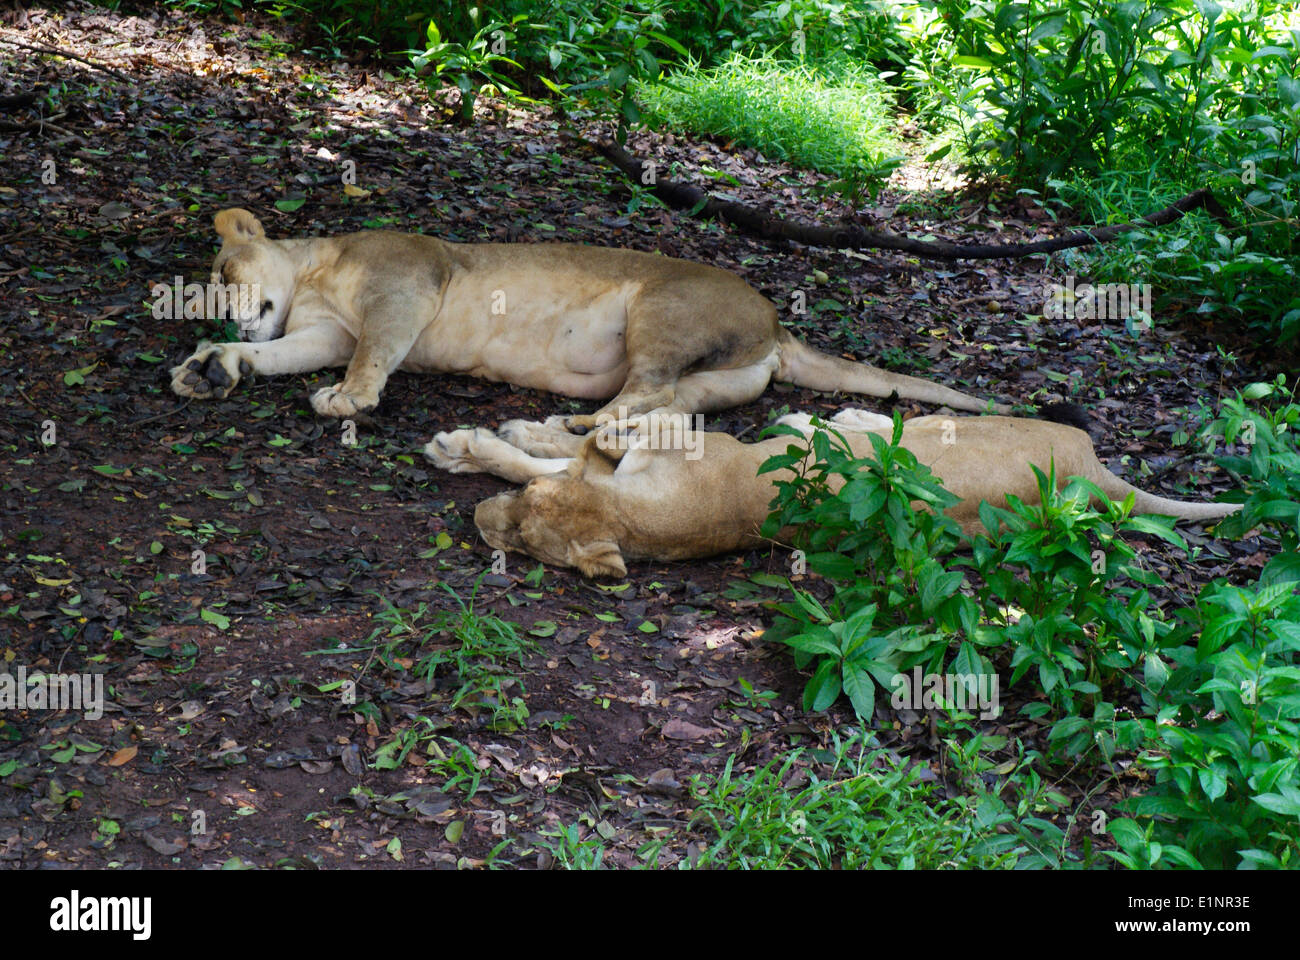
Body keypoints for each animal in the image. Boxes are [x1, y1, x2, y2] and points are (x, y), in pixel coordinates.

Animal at [170, 209, 1012, 426]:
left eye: (221, 274)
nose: (233, 323)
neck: (313, 273)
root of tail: (777, 326)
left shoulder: (405, 285)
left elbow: (373, 353)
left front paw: (348, 398)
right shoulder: (321, 330)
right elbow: (284, 356)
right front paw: (217, 366)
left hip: (662, 311)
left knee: (649, 385)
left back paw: (584, 423)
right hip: (716, 379)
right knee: (669, 402)